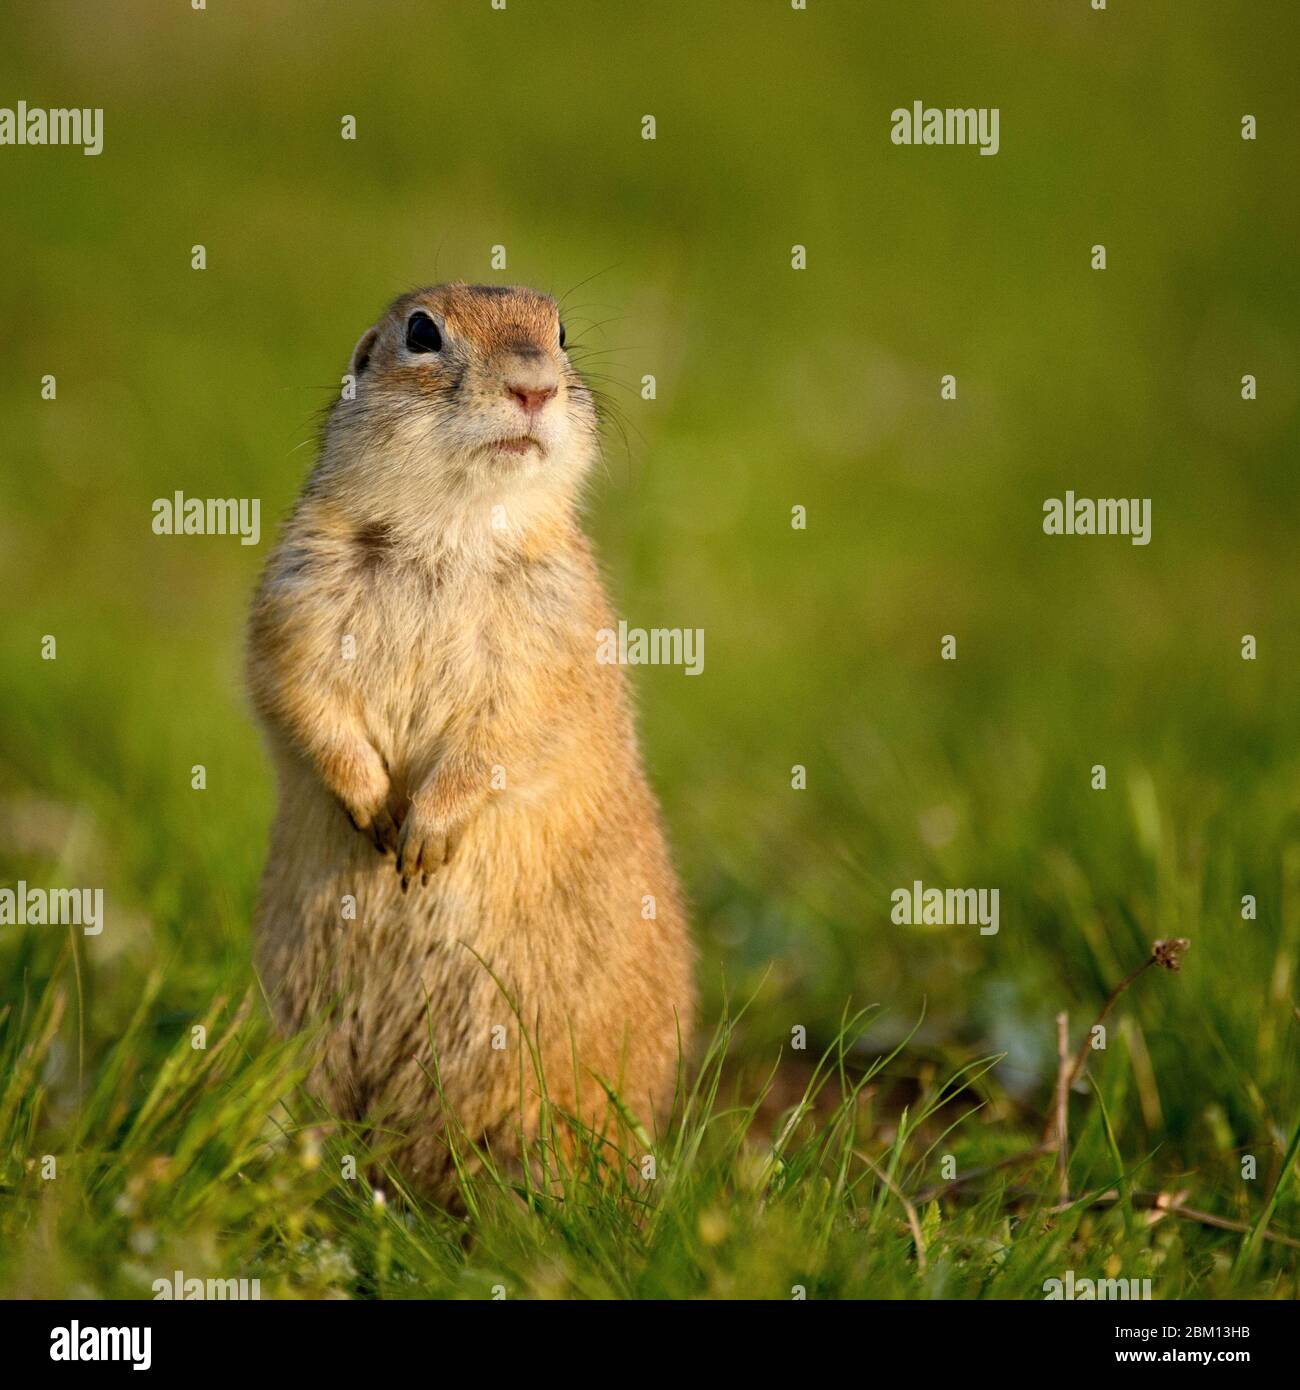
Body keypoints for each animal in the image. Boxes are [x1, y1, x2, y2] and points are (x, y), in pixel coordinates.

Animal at [247, 283, 694, 1197]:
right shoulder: (296, 593)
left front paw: (423, 836)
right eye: (422, 333)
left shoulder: (557, 632)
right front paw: (371, 808)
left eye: (560, 333)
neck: (450, 535)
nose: (534, 387)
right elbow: (299, 689)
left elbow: (511, 730)